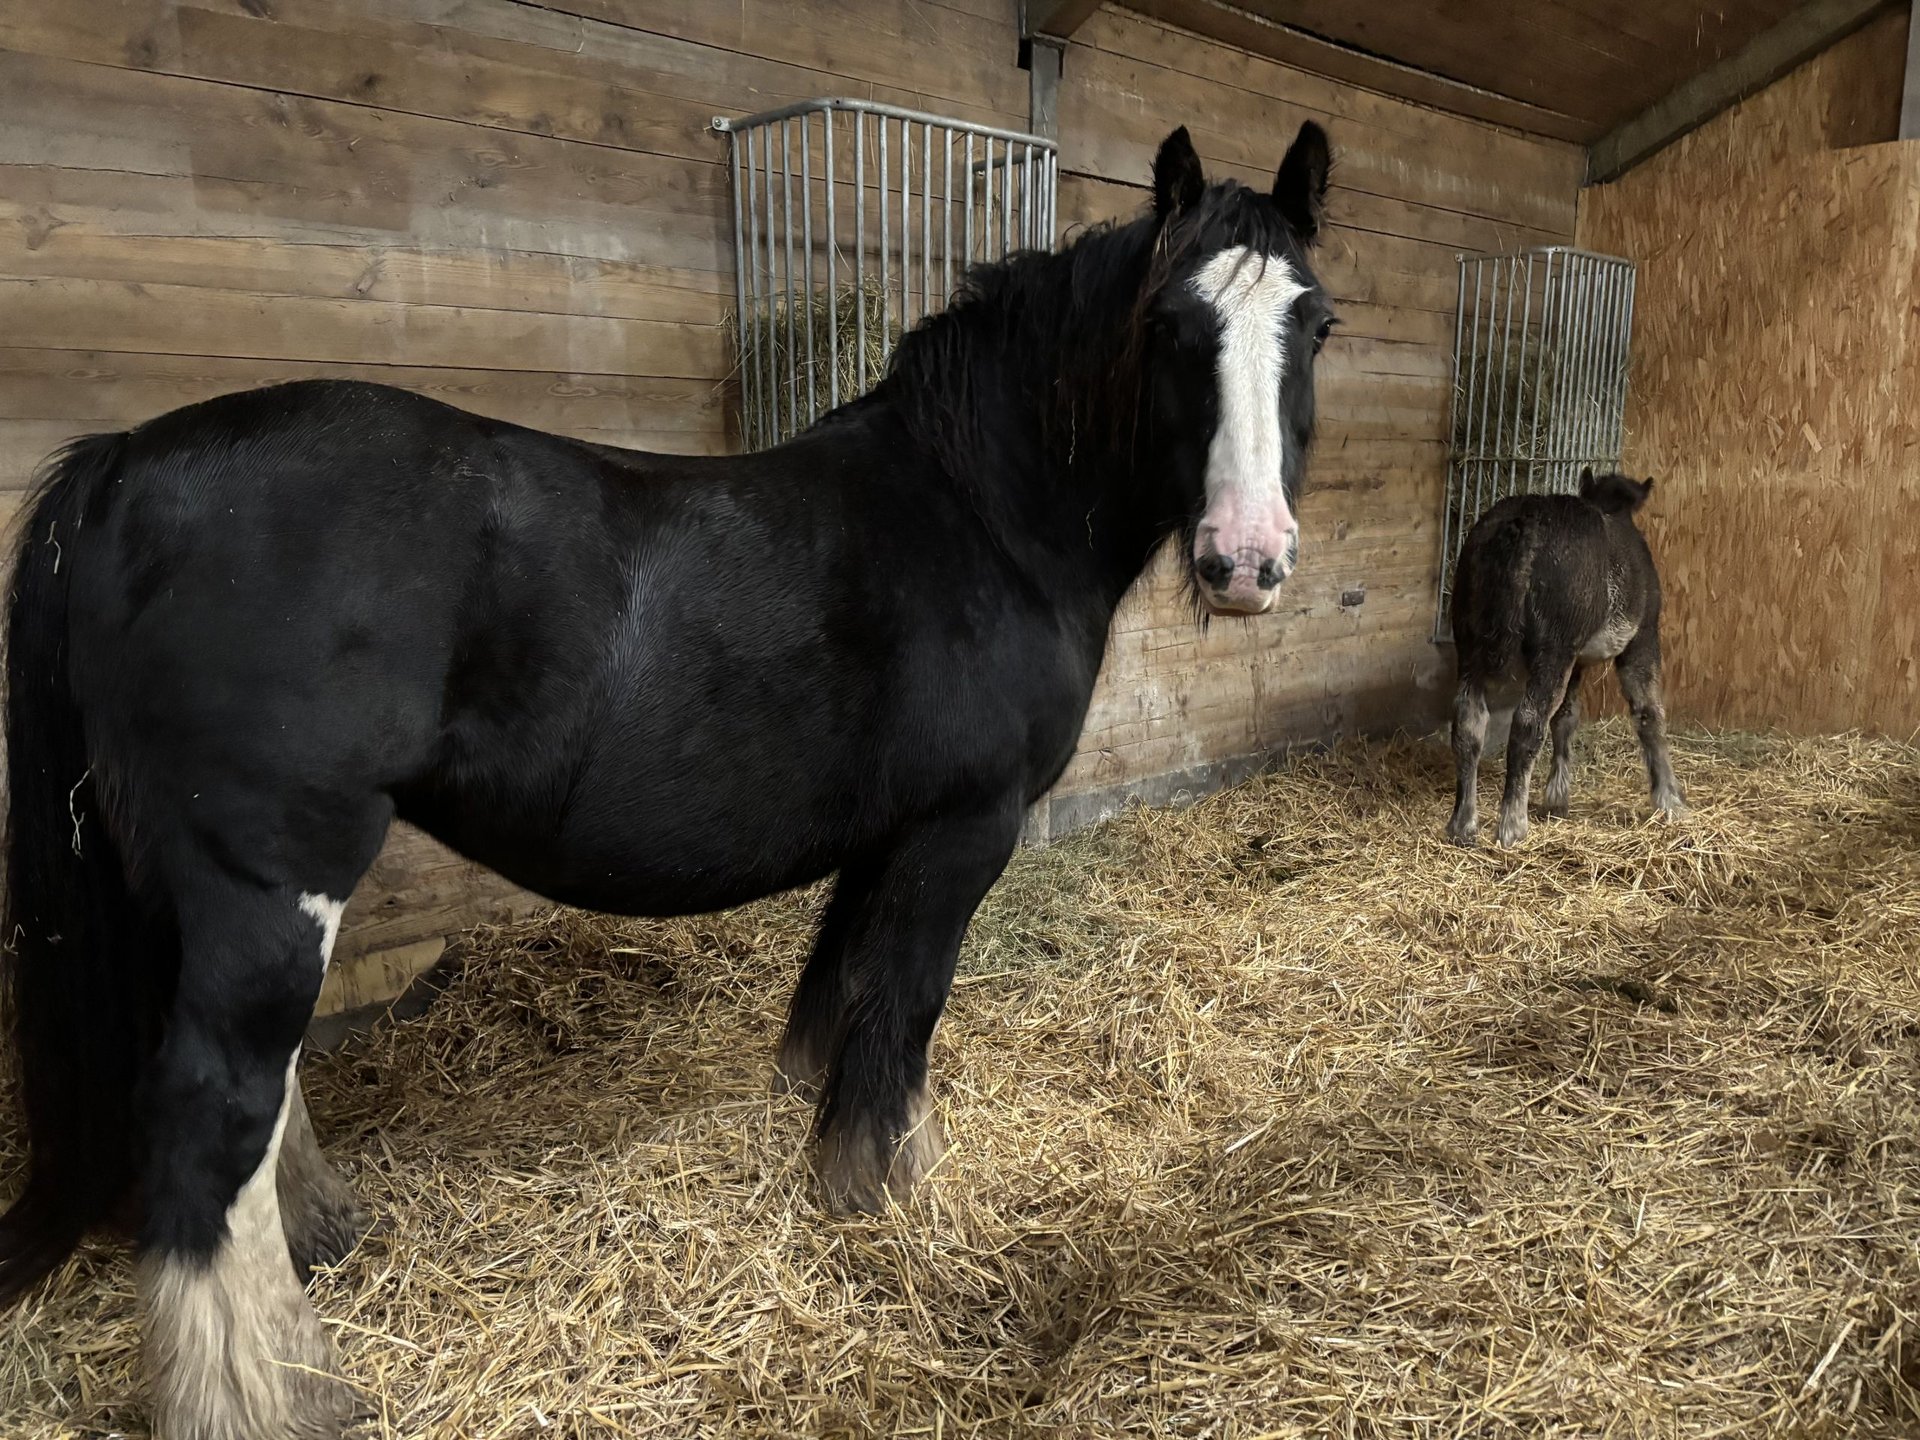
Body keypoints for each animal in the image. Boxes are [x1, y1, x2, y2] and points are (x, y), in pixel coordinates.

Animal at [0, 121, 1337, 1438]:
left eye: (1315, 325)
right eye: (1172, 328)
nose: (1248, 561)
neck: (979, 517)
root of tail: (125, 466)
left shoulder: (883, 839)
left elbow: (839, 999)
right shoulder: (960, 831)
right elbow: (901, 1021)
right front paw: (880, 1196)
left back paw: (320, 1243)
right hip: (272, 880)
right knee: (210, 1114)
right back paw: (277, 1395)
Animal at [1444, 468, 1686, 849]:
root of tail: (1524, 524)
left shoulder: (1578, 660)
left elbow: (1567, 718)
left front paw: (1557, 798)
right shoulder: (1641, 638)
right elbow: (1649, 713)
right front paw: (1670, 801)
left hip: (1471, 644)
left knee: (1469, 722)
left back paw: (1463, 826)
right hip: (1551, 652)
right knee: (1527, 724)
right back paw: (1513, 826)